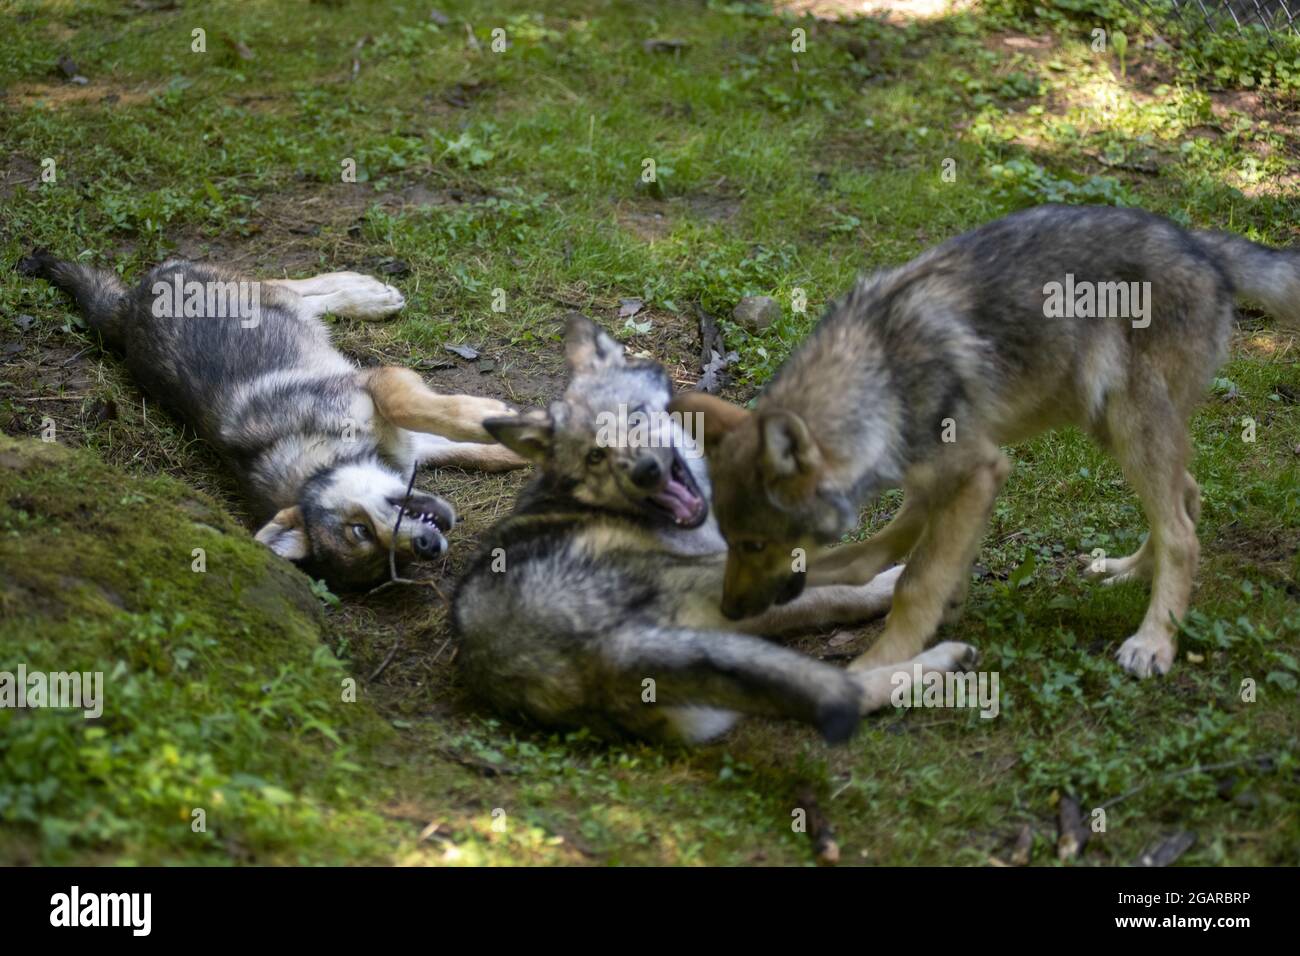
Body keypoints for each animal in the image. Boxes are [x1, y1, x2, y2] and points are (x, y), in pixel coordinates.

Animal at [17, 251, 523, 587]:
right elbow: (476, 451)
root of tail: (127, 310)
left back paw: (367, 294)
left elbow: (436, 415)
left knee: (294, 284)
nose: (427, 547)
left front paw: (500, 421)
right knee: (302, 297)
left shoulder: (382, 386)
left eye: (359, 528)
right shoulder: (408, 437)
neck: (324, 459)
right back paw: (367, 297)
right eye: (374, 549)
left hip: (252, 291)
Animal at [452, 316, 975, 744]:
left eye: (636, 416)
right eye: (596, 456)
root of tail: (598, 652)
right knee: (845, 663)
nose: (645, 472)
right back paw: (942, 653)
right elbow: (833, 589)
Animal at [672, 204, 1300, 679]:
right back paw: (1124, 572)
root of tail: (1202, 246)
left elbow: (916, 583)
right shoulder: (934, 488)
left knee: (1182, 534)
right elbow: (865, 560)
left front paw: (876, 667)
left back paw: (1153, 643)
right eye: (730, 539)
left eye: (754, 543)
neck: (883, 378)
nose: (730, 609)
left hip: (1129, 422)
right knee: (1188, 497)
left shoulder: (977, 473)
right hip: (1112, 428)